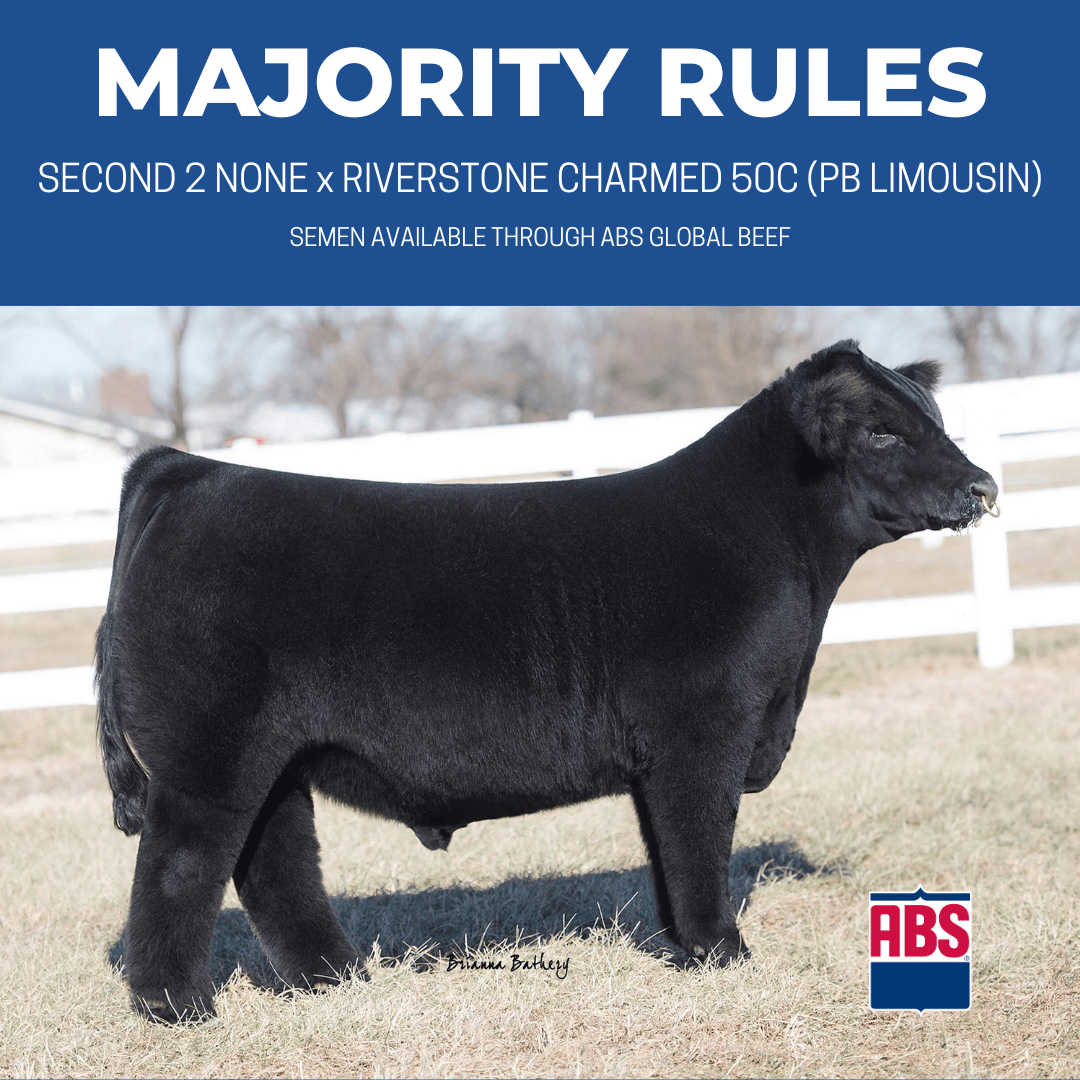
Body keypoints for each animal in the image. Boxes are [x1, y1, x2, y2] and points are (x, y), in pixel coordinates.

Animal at [95, 340, 997, 1022]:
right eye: (881, 433)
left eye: (936, 421)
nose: (983, 485)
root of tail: (188, 472)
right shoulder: (701, 733)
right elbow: (700, 843)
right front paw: (723, 951)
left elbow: (666, 854)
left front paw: (686, 948)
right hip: (208, 753)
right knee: (179, 867)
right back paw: (178, 1007)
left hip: (275, 755)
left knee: (274, 861)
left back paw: (334, 980)